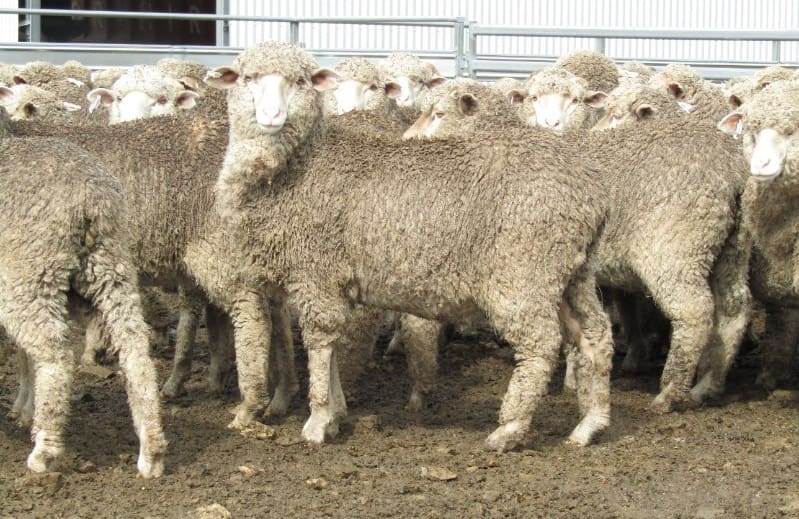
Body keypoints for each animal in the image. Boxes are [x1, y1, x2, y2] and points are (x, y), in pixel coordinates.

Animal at [0, 107, 166, 477]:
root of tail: (89, 196)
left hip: (30, 272)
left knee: (55, 353)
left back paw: (44, 449)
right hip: (110, 263)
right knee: (134, 347)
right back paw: (151, 449)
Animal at [191, 41, 614, 452]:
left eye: (300, 81)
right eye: (247, 78)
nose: (271, 115)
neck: (295, 165)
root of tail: (589, 190)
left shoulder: (316, 273)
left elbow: (320, 343)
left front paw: (318, 420)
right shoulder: (331, 281)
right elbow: (333, 347)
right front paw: (337, 413)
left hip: (523, 271)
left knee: (540, 344)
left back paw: (509, 429)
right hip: (570, 272)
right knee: (595, 337)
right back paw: (589, 424)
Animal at [408, 77, 753, 412]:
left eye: (438, 114)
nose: (407, 137)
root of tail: (732, 167)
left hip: (674, 249)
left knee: (694, 311)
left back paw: (670, 392)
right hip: (731, 249)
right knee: (735, 309)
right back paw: (707, 385)